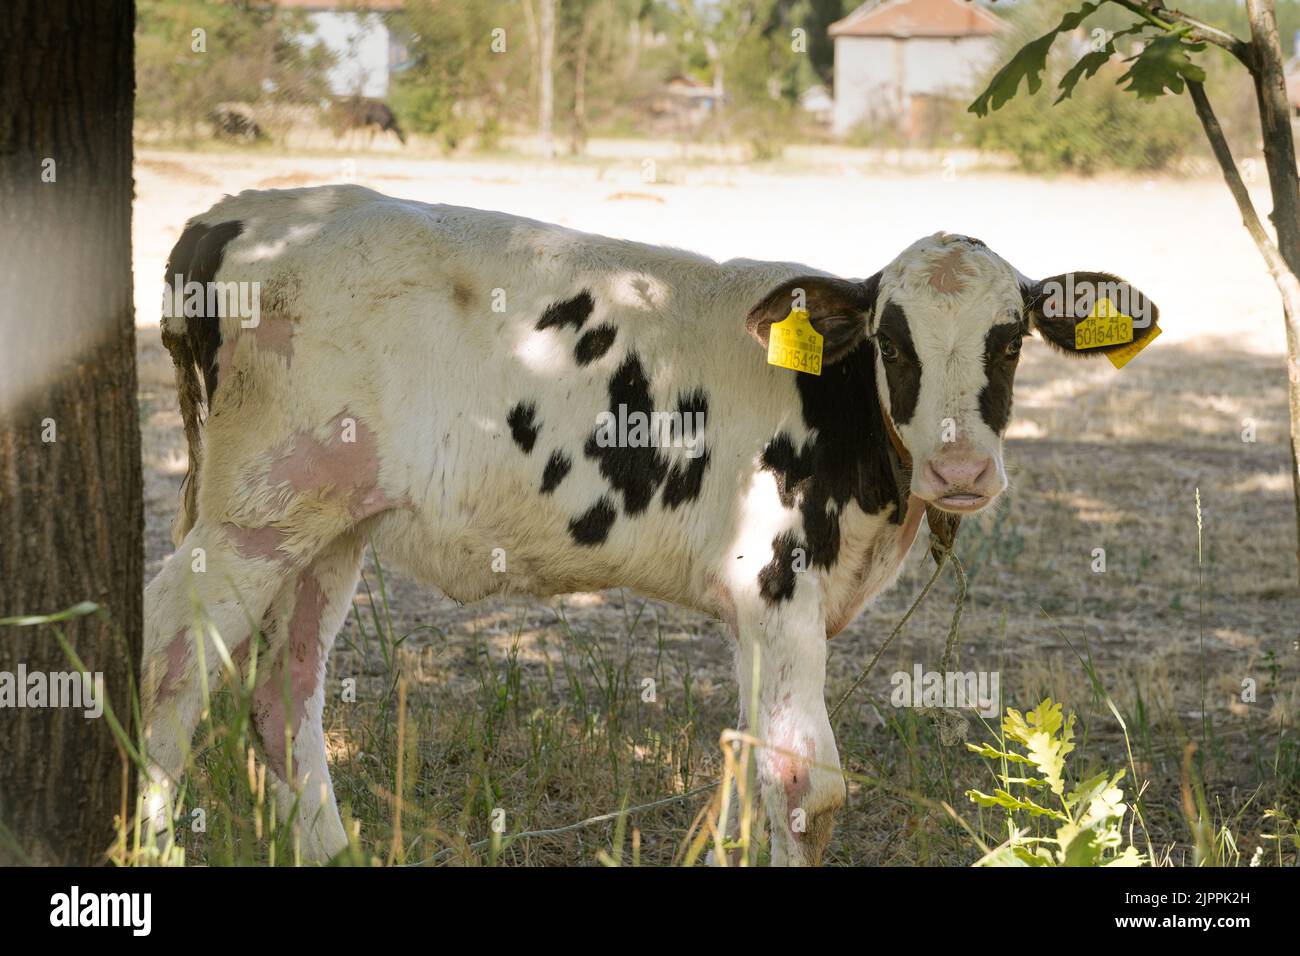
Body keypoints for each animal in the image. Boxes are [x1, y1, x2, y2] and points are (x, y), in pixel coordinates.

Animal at [142, 185, 1159, 865]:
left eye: (1010, 339)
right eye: (892, 341)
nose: (962, 472)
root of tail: (235, 212)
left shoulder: (757, 614)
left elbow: (753, 772)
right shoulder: (781, 580)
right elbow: (807, 784)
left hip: (327, 525)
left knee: (285, 699)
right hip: (251, 515)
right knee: (165, 665)